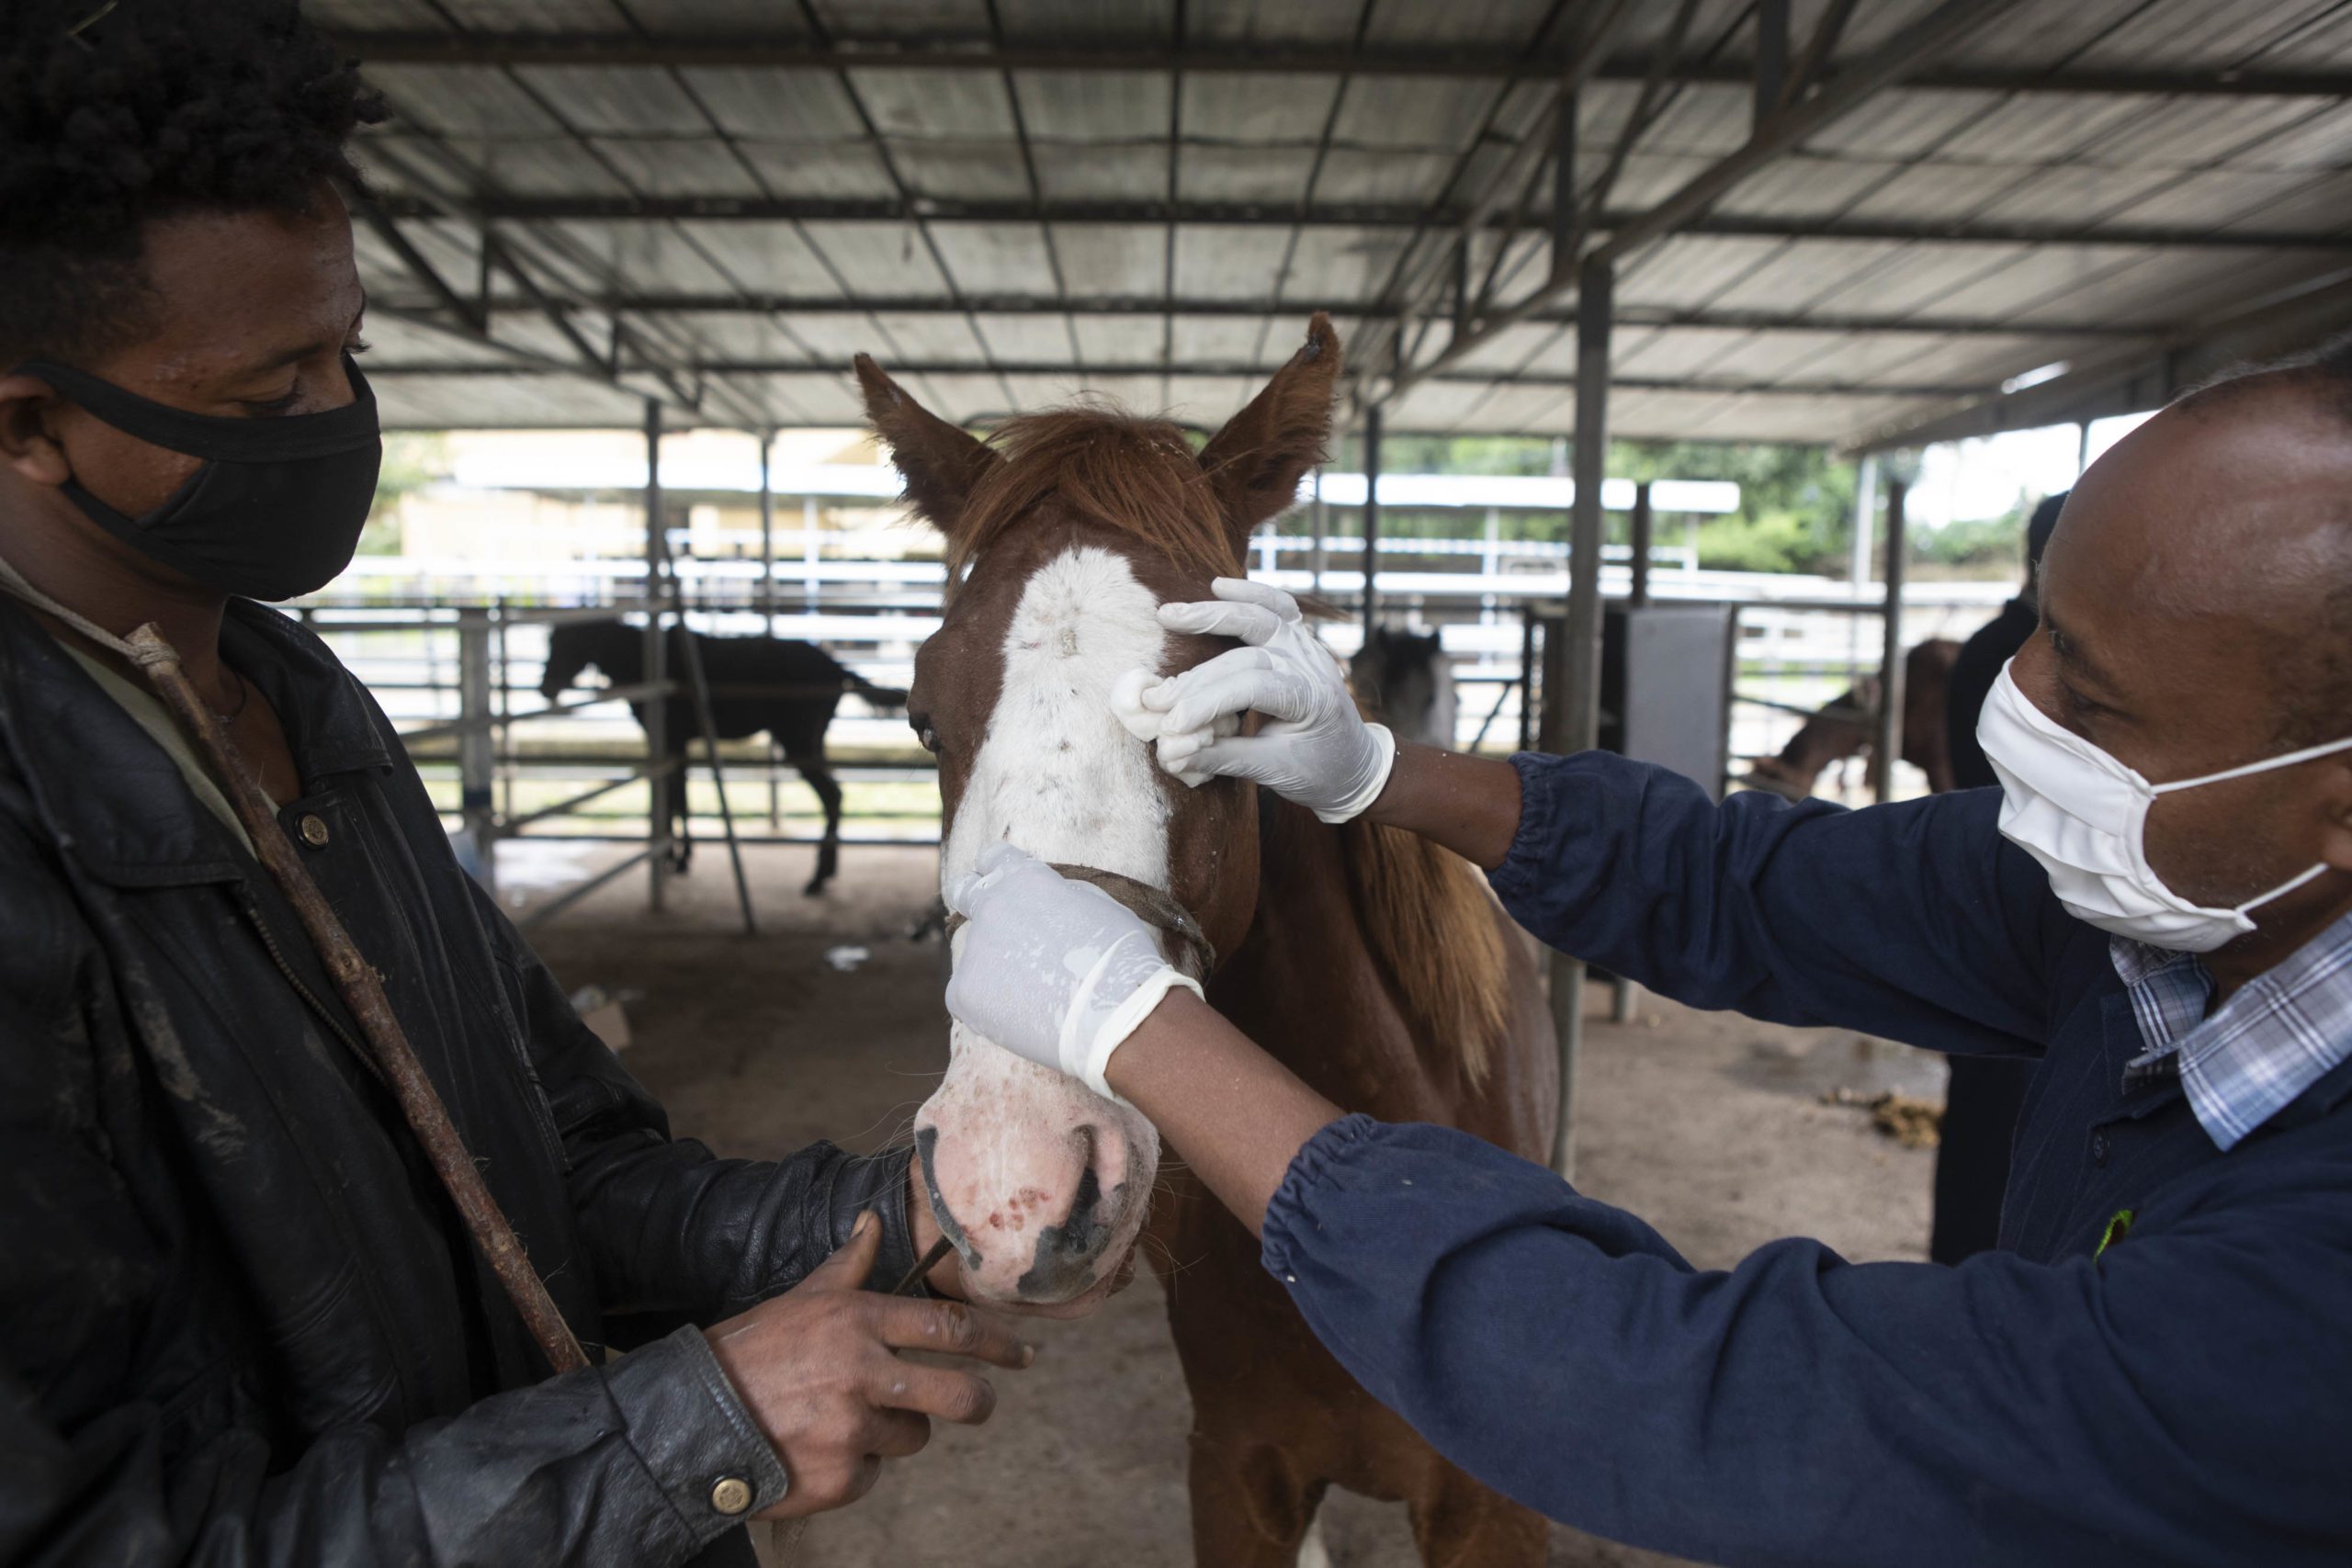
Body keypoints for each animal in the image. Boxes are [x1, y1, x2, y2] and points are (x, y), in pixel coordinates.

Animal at [537, 619, 904, 896]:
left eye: (567, 644)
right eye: (551, 642)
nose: (545, 688)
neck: (642, 658)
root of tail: (833, 664)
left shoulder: (671, 742)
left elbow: (674, 799)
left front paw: (675, 859)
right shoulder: (680, 746)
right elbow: (680, 798)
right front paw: (680, 857)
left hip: (799, 743)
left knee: (831, 796)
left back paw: (817, 877)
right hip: (813, 743)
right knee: (835, 796)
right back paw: (826, 873)